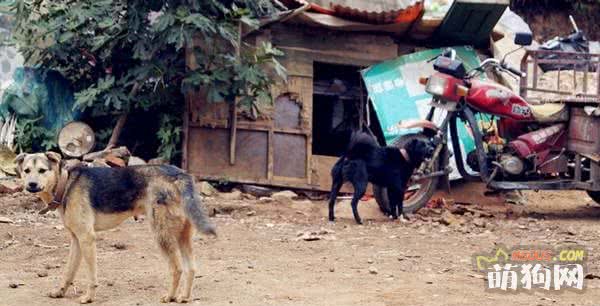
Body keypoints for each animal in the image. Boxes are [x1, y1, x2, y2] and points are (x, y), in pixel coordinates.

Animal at [15, 153, 216, 304]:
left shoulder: (87, 238)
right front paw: (60, 292)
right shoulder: (76, 240)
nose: (31, 185)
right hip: (182, 235)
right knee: (191, 268)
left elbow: (91, 276)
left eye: (42, 170)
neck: (66, 185)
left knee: (177, 268)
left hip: (161, 234)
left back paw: (170, 296)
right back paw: (184, 297)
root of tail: (180, 174)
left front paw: (89, 297)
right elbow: (68, 271)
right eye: (26, 171)